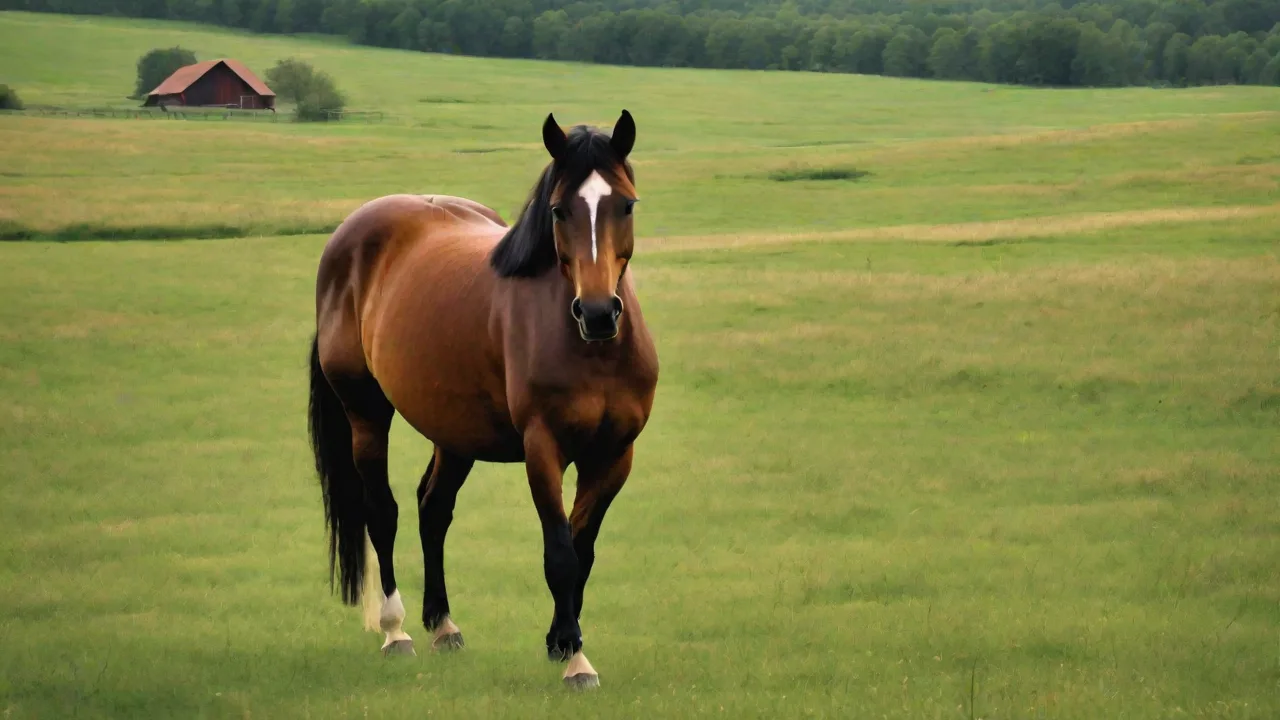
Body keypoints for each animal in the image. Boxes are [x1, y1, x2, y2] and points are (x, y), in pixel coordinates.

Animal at [306, 110, 658, 689]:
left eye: (625, 205)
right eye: (559, 209)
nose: (598, 313)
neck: (593, 352)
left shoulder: (614, 456)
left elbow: (582, 551)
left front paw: (561, 640)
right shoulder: (543, 449)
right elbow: (560, 553)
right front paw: (575, 660)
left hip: (455, 433)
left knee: (432, 510)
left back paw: (444, 625)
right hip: (366, 413)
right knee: (383, 512)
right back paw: (396, 631)